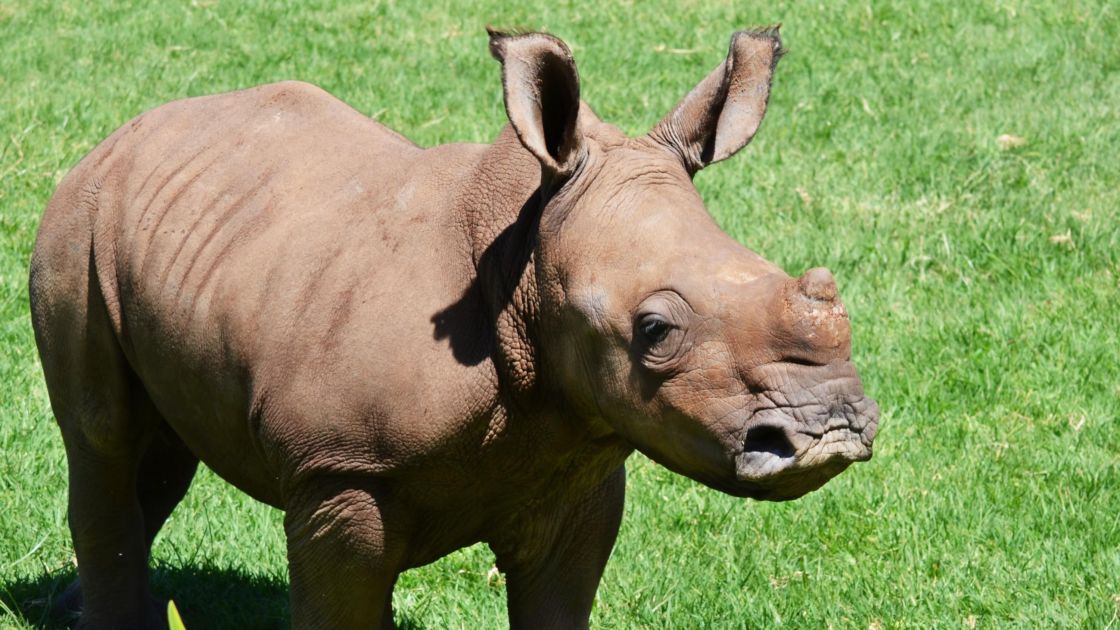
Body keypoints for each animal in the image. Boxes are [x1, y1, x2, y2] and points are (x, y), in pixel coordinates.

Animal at [29, 27, 878, 629]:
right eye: (655, 331)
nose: (830, 429)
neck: (525, 267)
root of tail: (125, 132)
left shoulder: (577, 469)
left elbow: (558, 607)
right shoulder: (342, 471)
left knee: (161, 445)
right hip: (77, 225)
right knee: (102, 438)